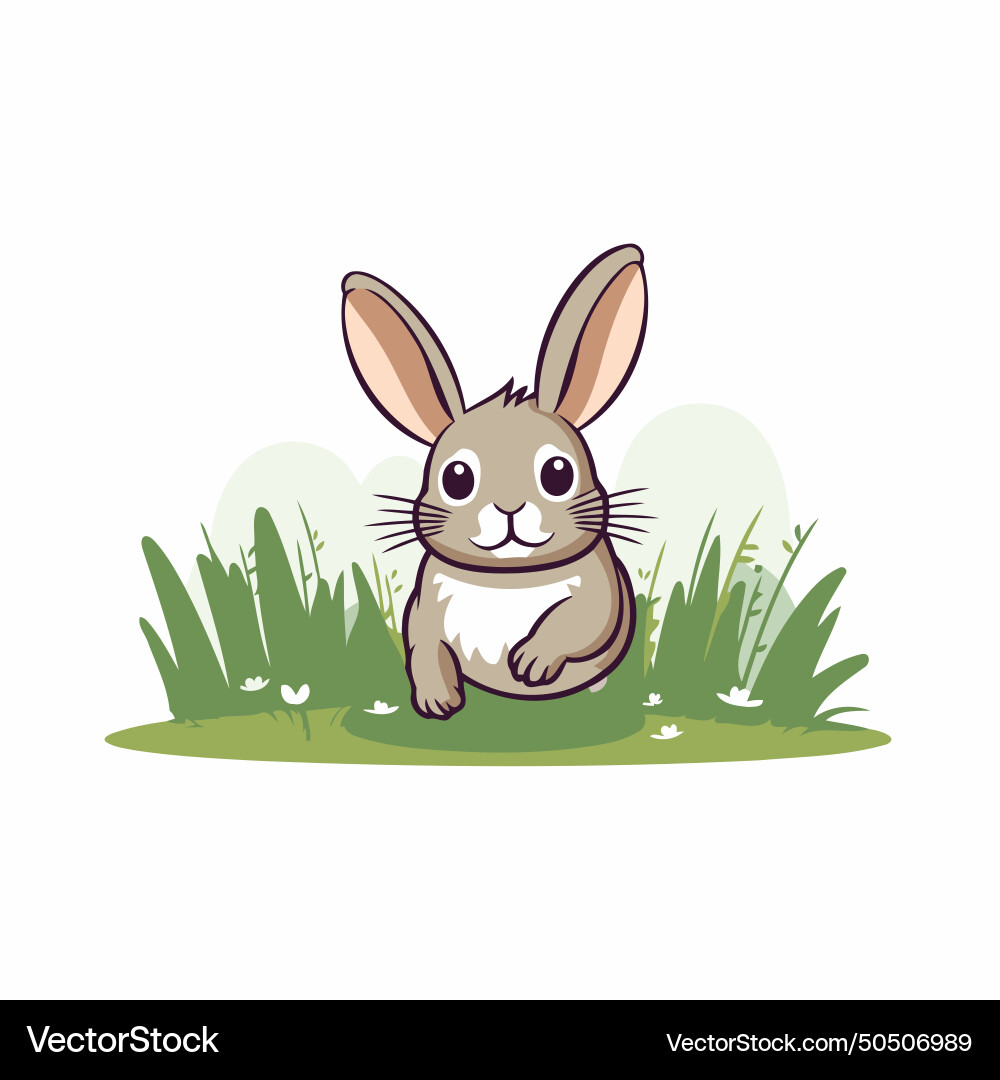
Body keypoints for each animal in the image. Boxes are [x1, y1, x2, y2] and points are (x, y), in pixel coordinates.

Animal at [341, 244, 648, 719]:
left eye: (558, 474)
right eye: (457, 478)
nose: (509, 508)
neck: (508, 576)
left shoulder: (598, 590)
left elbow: (581, 620)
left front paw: (531, 661)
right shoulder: (427, 605)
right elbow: (423, 645)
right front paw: (435, 701)